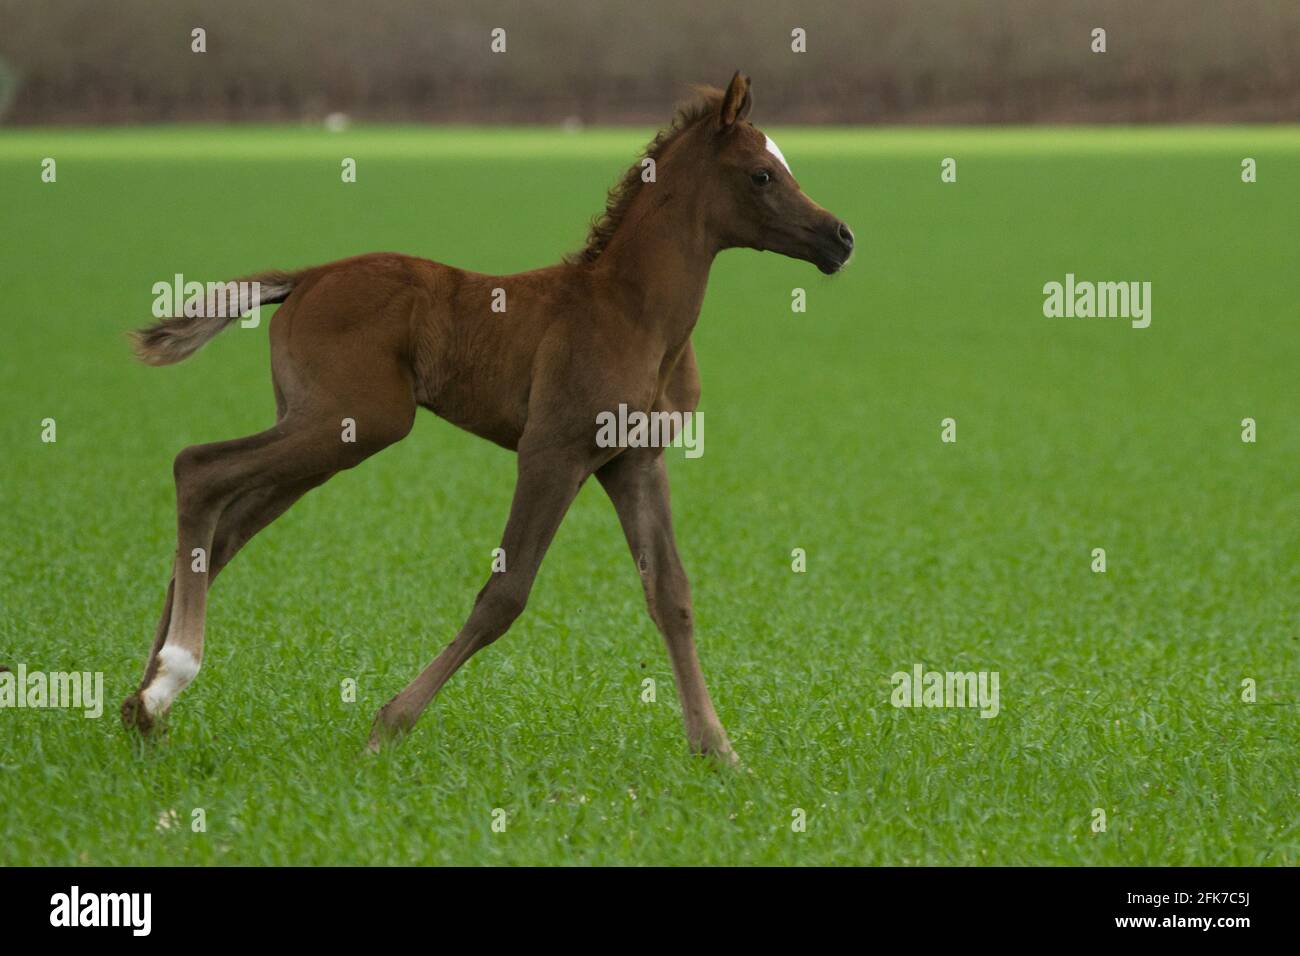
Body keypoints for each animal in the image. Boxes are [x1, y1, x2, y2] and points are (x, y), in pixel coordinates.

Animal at [120, 72, 854, 763]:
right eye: (762, 174)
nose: (840, 237)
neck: (633, 314)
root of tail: (305, 278)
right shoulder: (553, 452)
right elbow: (505, 595)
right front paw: (388, 727)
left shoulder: (634, 460)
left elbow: (671, 596)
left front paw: (720, 753)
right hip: (353, 423)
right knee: (198, 469)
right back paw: (165, 683)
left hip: (323, 432)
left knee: (222, 531)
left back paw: (144, 706)